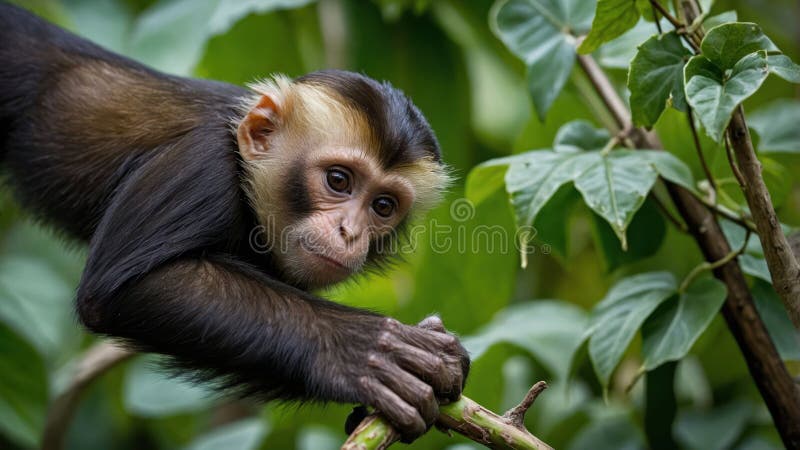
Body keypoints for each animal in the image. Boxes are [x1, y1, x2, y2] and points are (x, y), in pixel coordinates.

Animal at [0, 3, 469, 441]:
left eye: (383, 206)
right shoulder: (202, 165)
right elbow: (119, 290)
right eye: (338, 180)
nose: (349, 232)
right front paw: (362, 350)